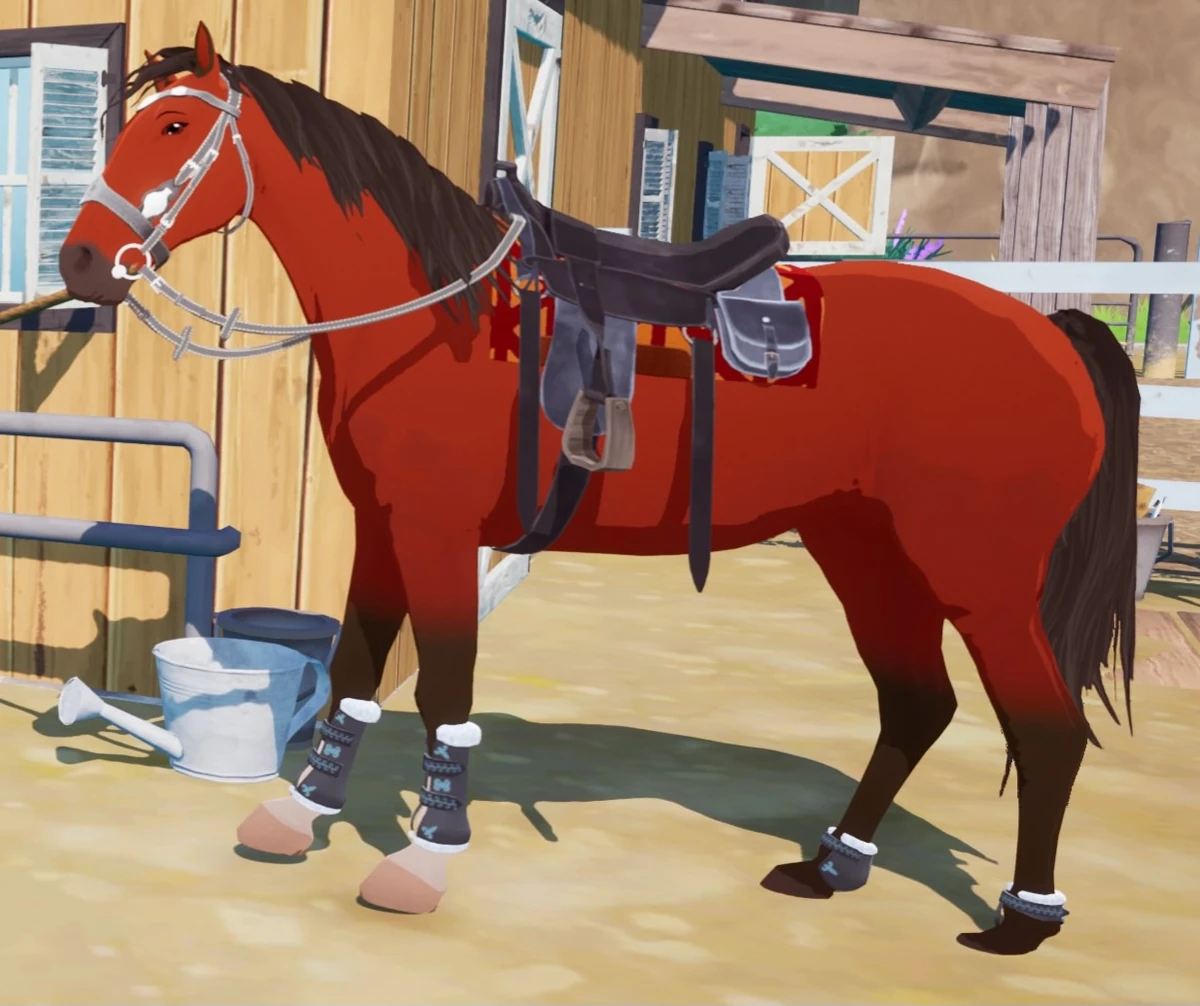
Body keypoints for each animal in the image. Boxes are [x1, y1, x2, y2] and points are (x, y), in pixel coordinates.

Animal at [59, 21, 1138, 957]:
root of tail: (1051, 334)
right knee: (916, 705)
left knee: (1048, 729)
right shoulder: (384, 524)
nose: (82, 261)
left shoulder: (440, 531)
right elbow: (360, 669)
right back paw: (831, 866)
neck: (439, 315)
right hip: (866, 551)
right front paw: (299, 810)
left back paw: (1021, 920)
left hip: (979, 578)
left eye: (173, 127)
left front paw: (422, 857)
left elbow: (444, 686)